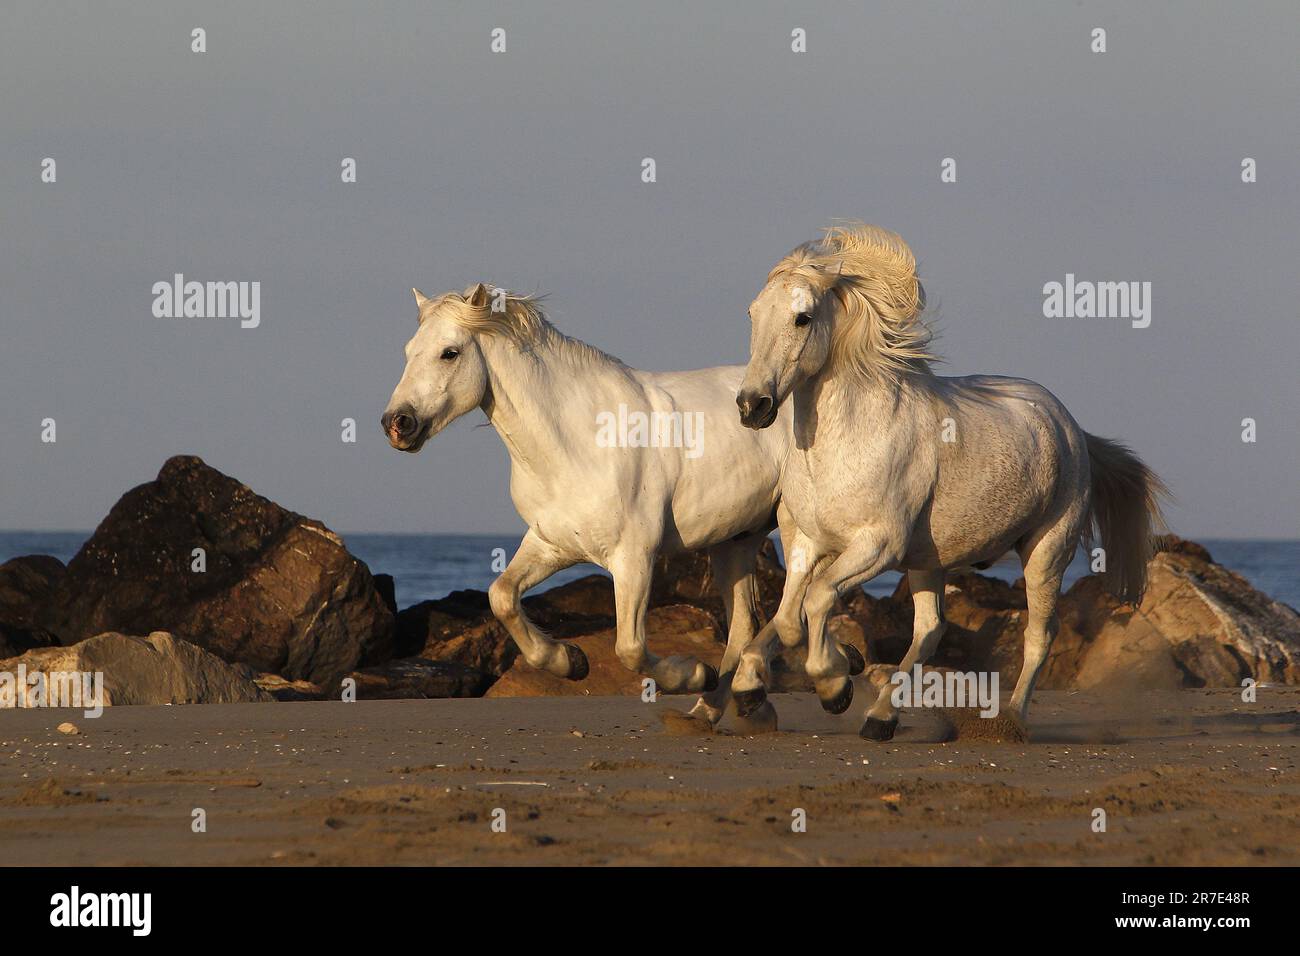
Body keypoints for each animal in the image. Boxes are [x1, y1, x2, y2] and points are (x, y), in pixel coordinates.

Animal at [380, 284, 863, 729]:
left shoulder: (633, 557)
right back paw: (725, 708)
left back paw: (827, 681)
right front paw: (568, 661)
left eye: (449, 353)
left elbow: (629, 647)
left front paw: (691, 672)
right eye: (407, 352)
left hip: (794, 525)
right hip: (735, 540)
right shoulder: (551, 544)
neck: (577, 440)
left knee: (794, 606)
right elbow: (502, 596)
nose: (397, 424)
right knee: (751, 623)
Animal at [730, 223, 1168, 739]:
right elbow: (788, 618)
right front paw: (759, 688)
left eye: (802, 318)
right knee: (930, 630)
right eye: (753, 313)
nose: (752, 406)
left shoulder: (876, 546)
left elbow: (815, 602)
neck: (844, 445)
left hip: (1046, 551)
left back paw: (1011, 720)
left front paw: (835, 685)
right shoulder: (805, 540)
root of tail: (1071, 427)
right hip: (928, 560)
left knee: (1039, 633)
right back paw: (880, 718)